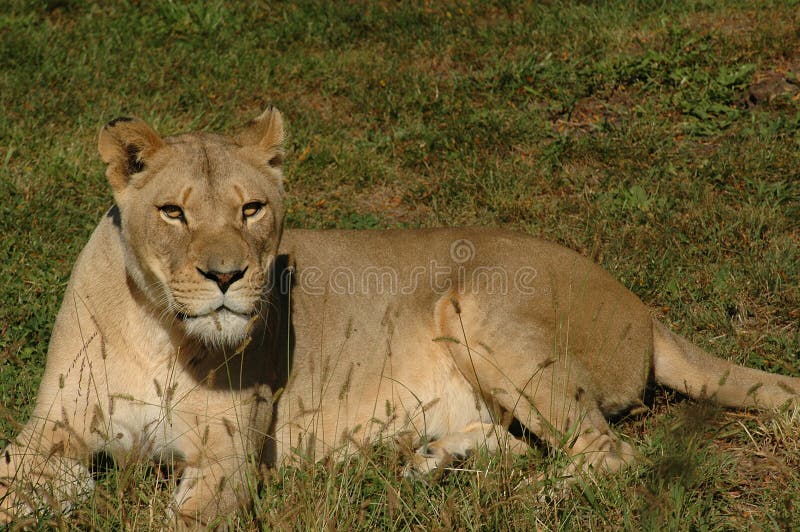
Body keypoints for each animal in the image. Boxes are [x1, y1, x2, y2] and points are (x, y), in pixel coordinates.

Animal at [2, 107, 798, 526]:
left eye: (251, 209)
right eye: (173, 212)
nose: (225, 275)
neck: (160, 329)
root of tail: (643, 306)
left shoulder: (227, 456)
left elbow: (189, 515)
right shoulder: (50, 429)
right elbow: (17, 477)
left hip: (486, 303)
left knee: (608, 455)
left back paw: (517, 500)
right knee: (526, 443)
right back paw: (431, 462)